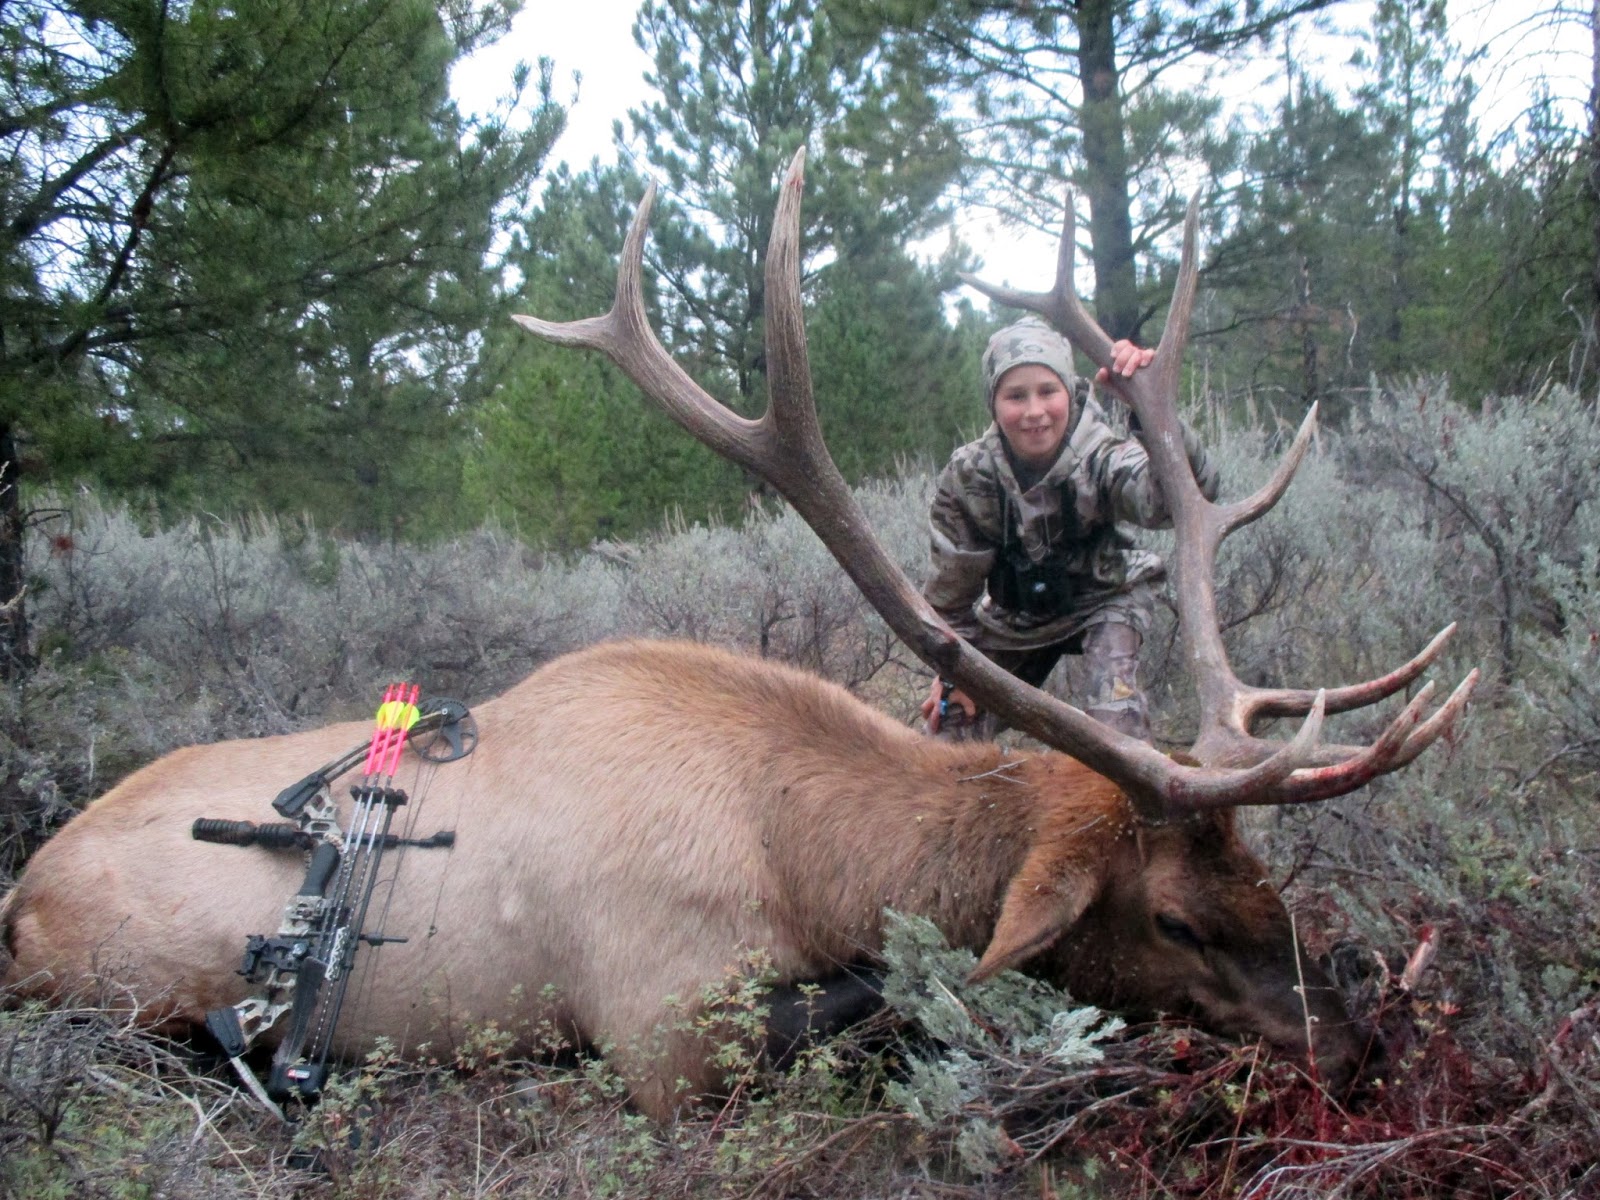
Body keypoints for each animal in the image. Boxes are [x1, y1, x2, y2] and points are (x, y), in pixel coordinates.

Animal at [1, 150, 1474, 1121]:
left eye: (1263, 873)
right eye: (1171, 917)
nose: (1360, 1033)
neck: (805, 858)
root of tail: (19, 895)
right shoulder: (662, 1028)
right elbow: (889, 1001)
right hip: (129, 994)